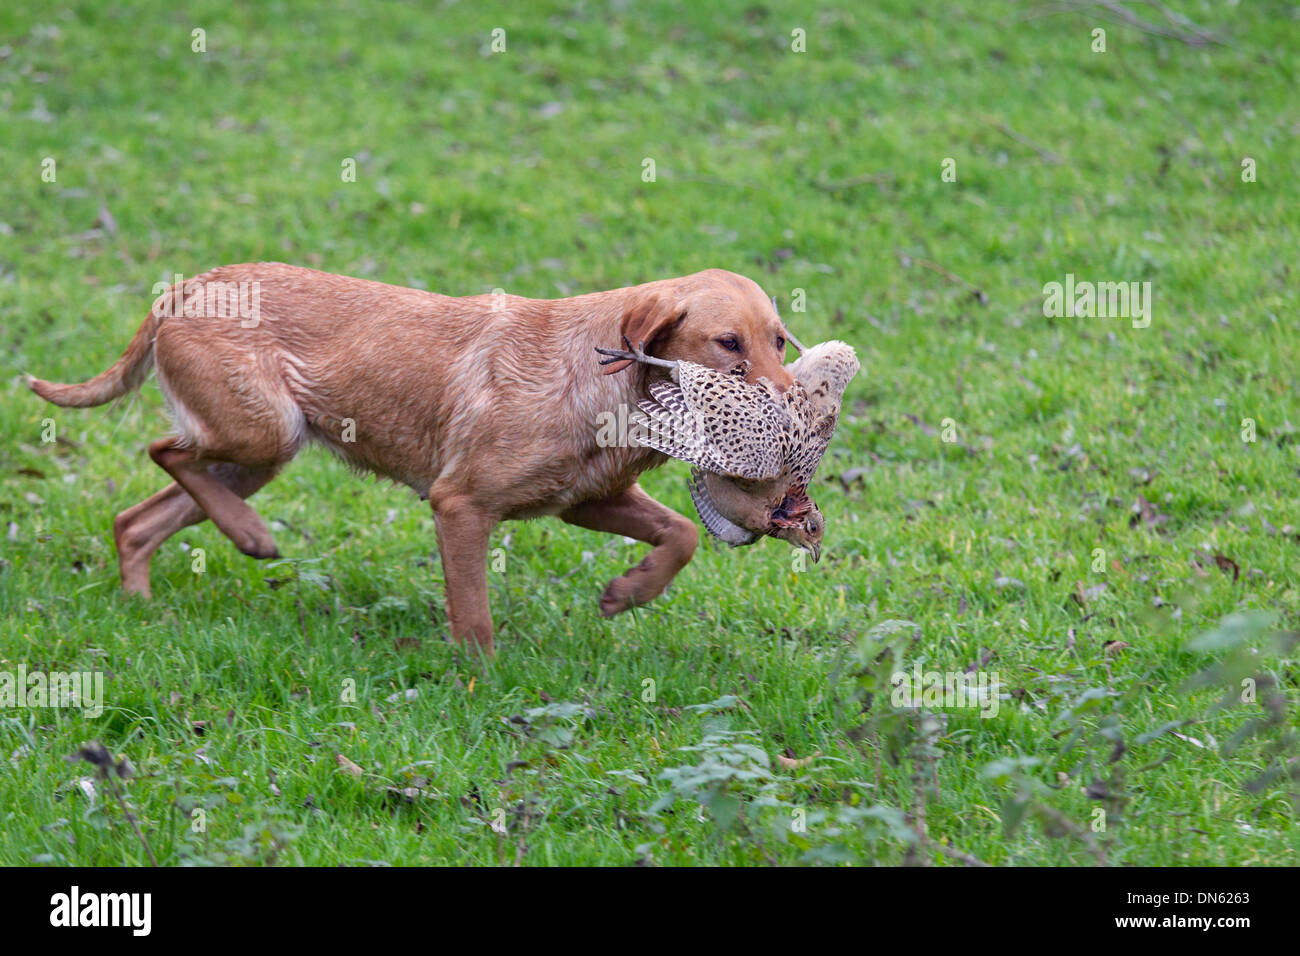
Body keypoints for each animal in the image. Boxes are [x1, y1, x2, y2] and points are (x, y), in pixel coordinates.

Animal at [30, 265, 790, 655]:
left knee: (137, 519)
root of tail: (191, 284)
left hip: (253, 457)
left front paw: (629, 591)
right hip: (263, 432)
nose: (789, 409)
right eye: (728, 343)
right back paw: (250, 535)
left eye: (780, 341)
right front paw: (481, 686)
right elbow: (475, 618)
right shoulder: (460, 506)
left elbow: (681, 533)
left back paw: (145, 603)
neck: (602, 382)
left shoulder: (586, 501)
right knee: (163, 451)